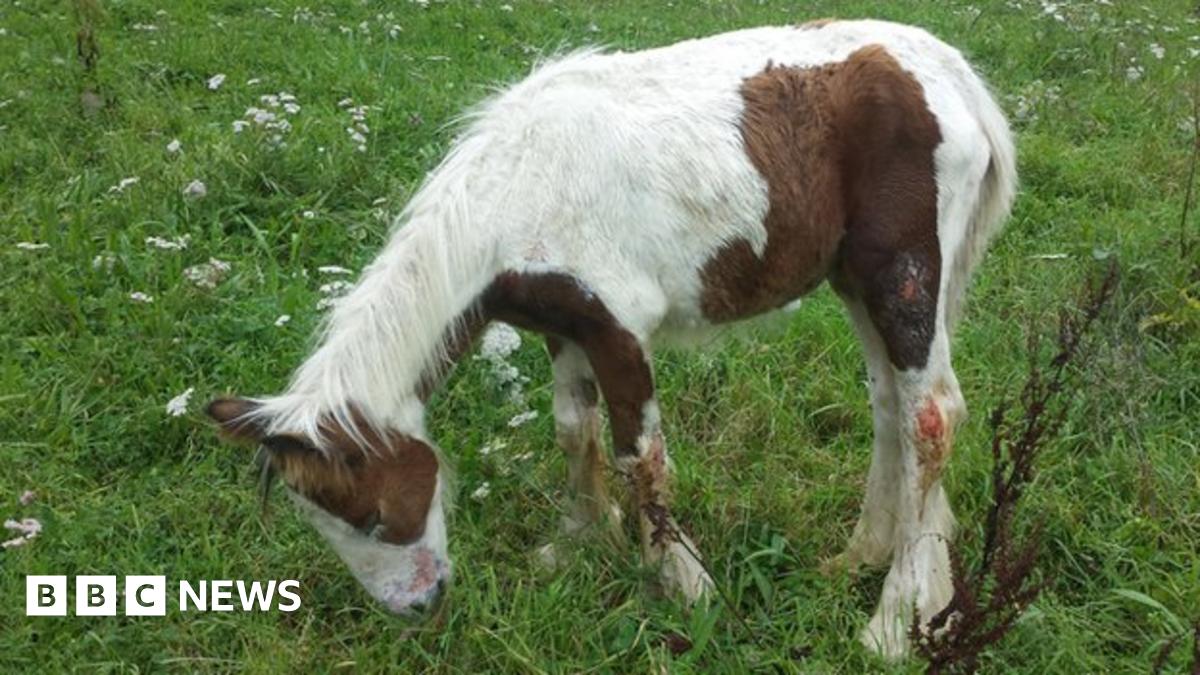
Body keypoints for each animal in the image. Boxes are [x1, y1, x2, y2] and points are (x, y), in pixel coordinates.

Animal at [207, 19, 1016, 659]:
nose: (419, 606)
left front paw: (685, 585)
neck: (513, 193)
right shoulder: (564, 327)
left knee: (930, 416)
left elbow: (641, 457)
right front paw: (582, 541)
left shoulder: (619, 326)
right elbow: (575, 428)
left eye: (375, 514)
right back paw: (861, 556)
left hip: (902, 269)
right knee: (890, 406)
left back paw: (893, 620)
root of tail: (958, 79)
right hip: (853, 277)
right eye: (322, 522)